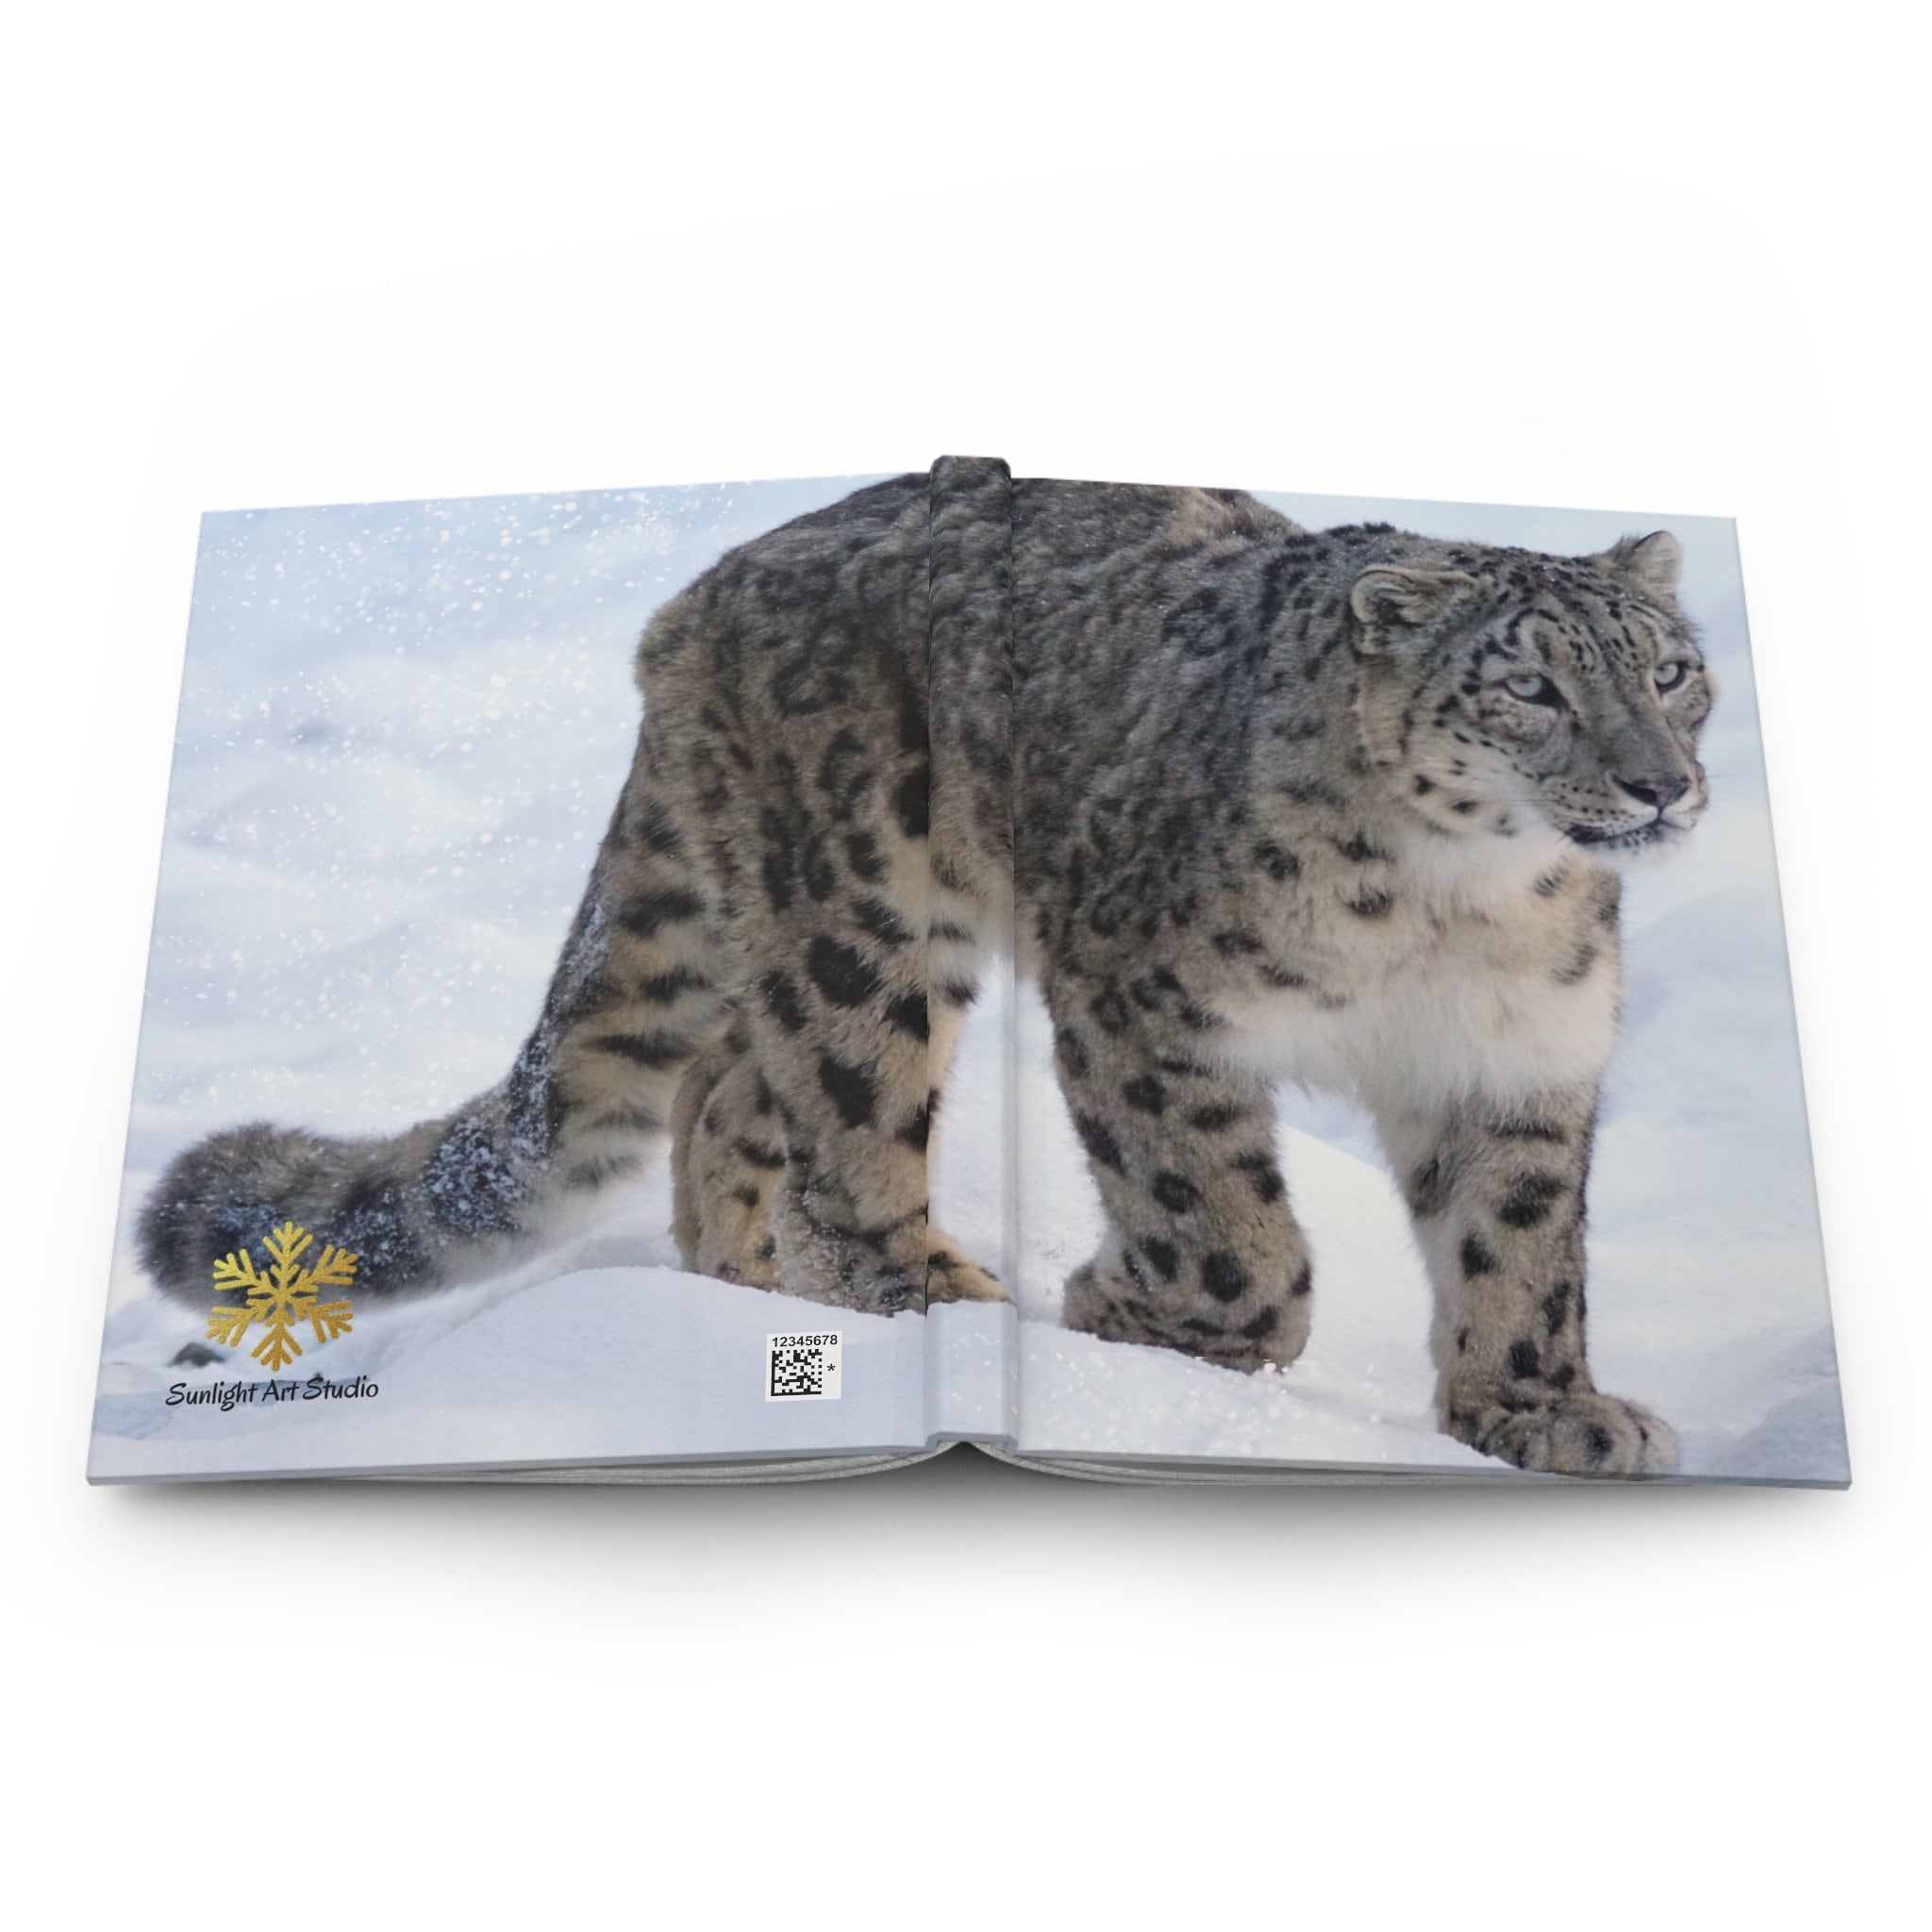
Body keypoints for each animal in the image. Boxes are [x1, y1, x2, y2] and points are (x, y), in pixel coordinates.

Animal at [138, 456, 1714, 1476]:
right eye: (1530, 685)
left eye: (1672, 670)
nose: (1662, 782)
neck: (1459, 911)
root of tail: (703, 592)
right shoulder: (1144, 1001)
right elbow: (1222, 1223)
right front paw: (1131, 1323)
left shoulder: (1520, 1057)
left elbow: (1521, 1248)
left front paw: (1544, 1414)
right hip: (866, 923)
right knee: (839, 1135)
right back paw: (935, 1304)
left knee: (727, 1089)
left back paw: (745, 1293)